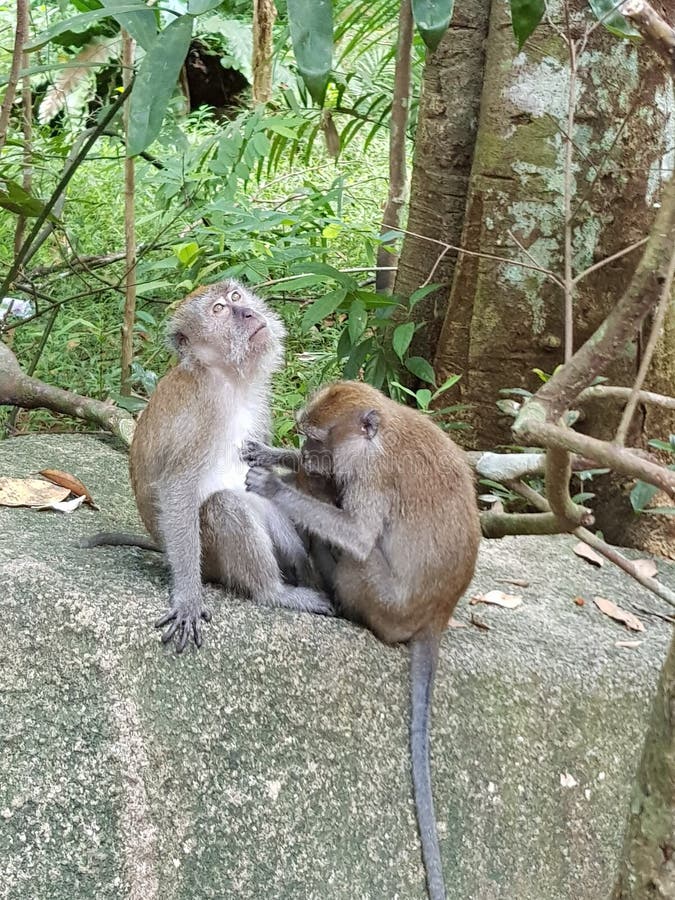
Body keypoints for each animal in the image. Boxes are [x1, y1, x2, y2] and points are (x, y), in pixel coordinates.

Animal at [82, 280, 333, 652]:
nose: (247, 312)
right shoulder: (200, 415)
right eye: (218, 310)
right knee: (224, 504)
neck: (226, 378)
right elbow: (177, 489)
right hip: (211, 558)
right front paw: (188, 599)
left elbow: (262, 473)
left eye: (235, 297)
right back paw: (275, 593)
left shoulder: (259, 403)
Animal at [244, 380, 481, 900]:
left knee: (357, 557)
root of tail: (438, 616)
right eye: (303, 435)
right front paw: (271, 454)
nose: (309, 455)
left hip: (382, 601)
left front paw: (276, 484)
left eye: (317, 437)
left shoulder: (372, 477)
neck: (383, 431)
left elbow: (357, 536)